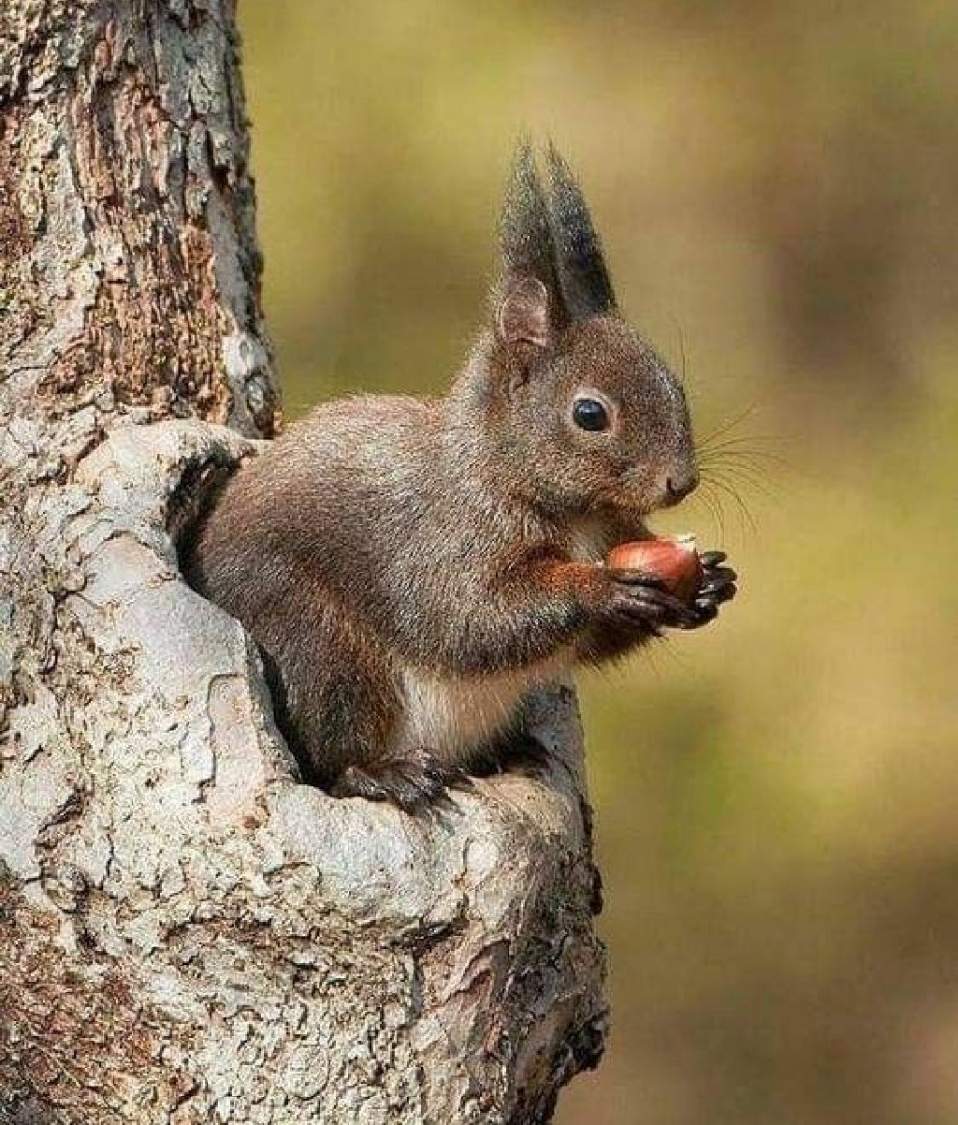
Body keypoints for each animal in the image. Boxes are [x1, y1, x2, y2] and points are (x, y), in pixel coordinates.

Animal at [183, 142, 737, 811]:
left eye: (674, 384)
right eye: (589, 413)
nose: (680, 482)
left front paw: (708, 582)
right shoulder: (440, 539)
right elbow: (465, 618)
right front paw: (602, 588)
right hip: (315, 643)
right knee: (333, 750)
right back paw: (380, 772)